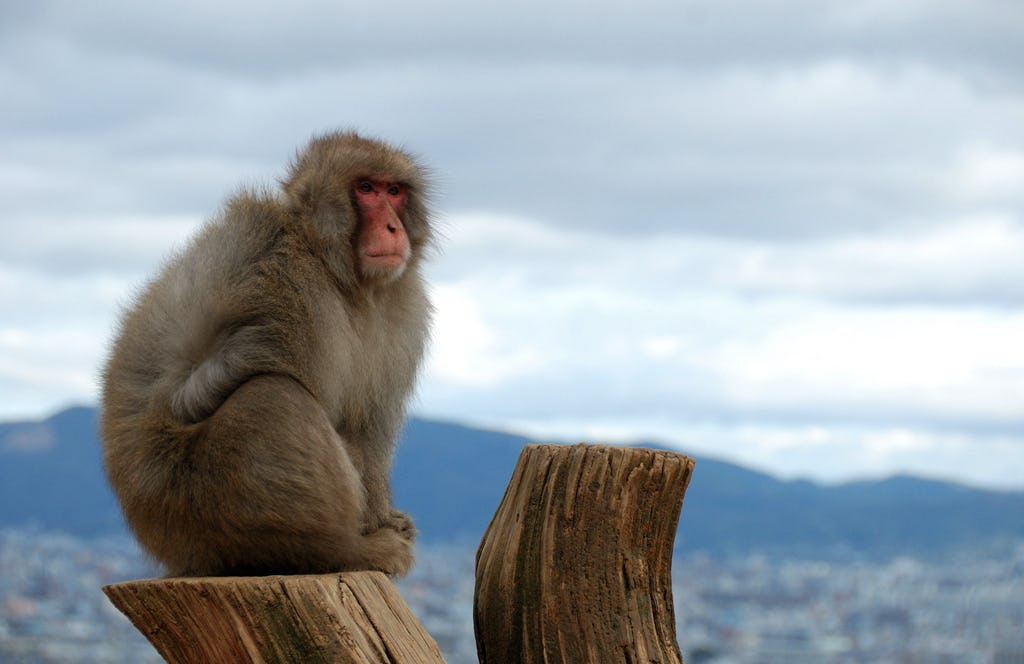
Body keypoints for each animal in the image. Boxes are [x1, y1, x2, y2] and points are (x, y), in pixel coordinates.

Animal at [100, 131, 432, 577]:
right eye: (366, 188)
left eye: (394, 191)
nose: (393, 227)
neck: (336, 271)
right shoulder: (294, 291)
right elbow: (205, 386)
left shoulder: (402, 309)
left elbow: (367, 427)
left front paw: (385, 517)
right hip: (196, 509)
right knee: (274, 396)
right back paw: (345, 550)